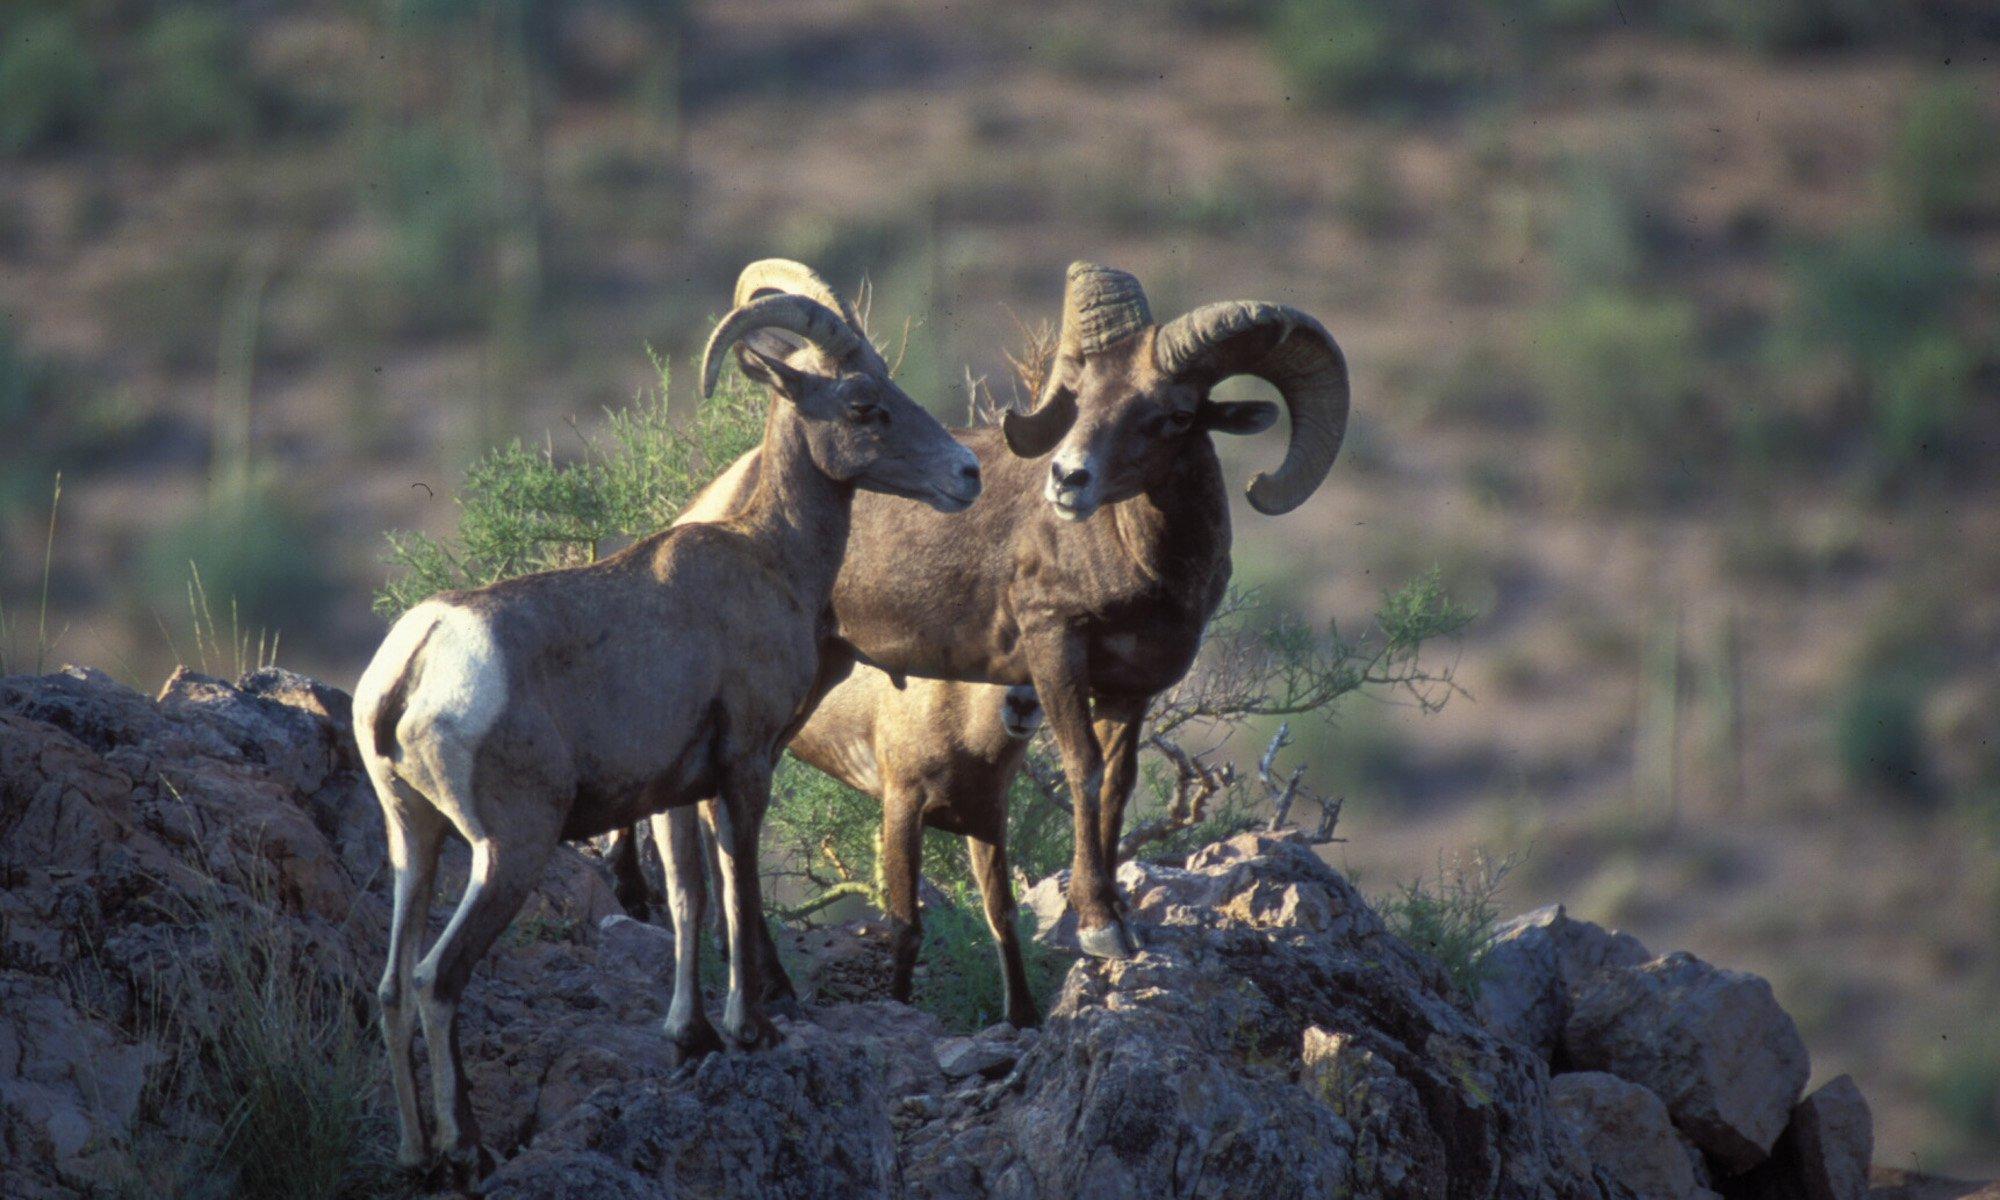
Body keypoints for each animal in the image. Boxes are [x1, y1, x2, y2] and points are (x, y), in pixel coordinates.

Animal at [350, 288, 980, 1179]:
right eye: (864, 405)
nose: (967, 474)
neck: (772, 560)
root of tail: (418, 660)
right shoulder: (746, 768)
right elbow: (737, 889)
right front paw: (753, 1029)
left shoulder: (674, 793)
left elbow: (687, 899)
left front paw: (693, 1038)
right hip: (509, 849)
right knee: (438, 979)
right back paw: (467, 1147)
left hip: (417, 839)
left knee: (392, 984)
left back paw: (415, 1155)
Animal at [681, 259, 1349, 964]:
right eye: (1082, 396)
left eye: (1174, 414)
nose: (1068, 479)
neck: (1146, 565)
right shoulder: (1055, 647)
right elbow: (1084, 769)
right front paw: (1098, 924)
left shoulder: (1132, 689)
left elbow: (1117, 784)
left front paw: (1120, 915)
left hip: (820, 677)